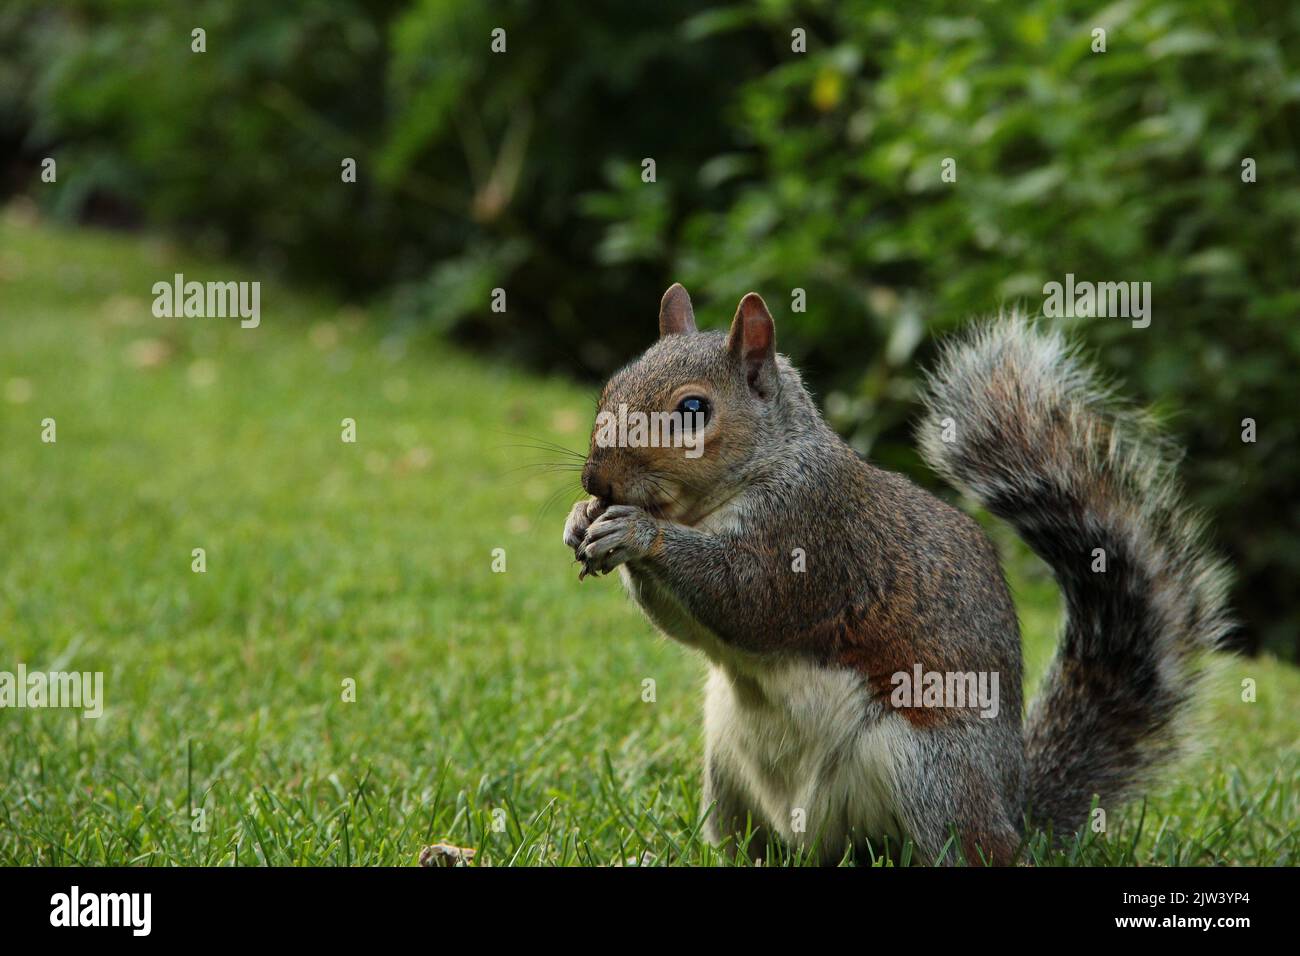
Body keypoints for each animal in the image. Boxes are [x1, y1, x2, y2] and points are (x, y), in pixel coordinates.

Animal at [562, 283, 1230, 865]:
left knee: (969, 851)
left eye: (694, 410)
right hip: (727, 778)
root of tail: (1014, 815)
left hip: (933, 771)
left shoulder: (813, 537)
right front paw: (581, 520)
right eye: (609, 386)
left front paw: (635, 531)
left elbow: (747, 597)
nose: (597, 480)